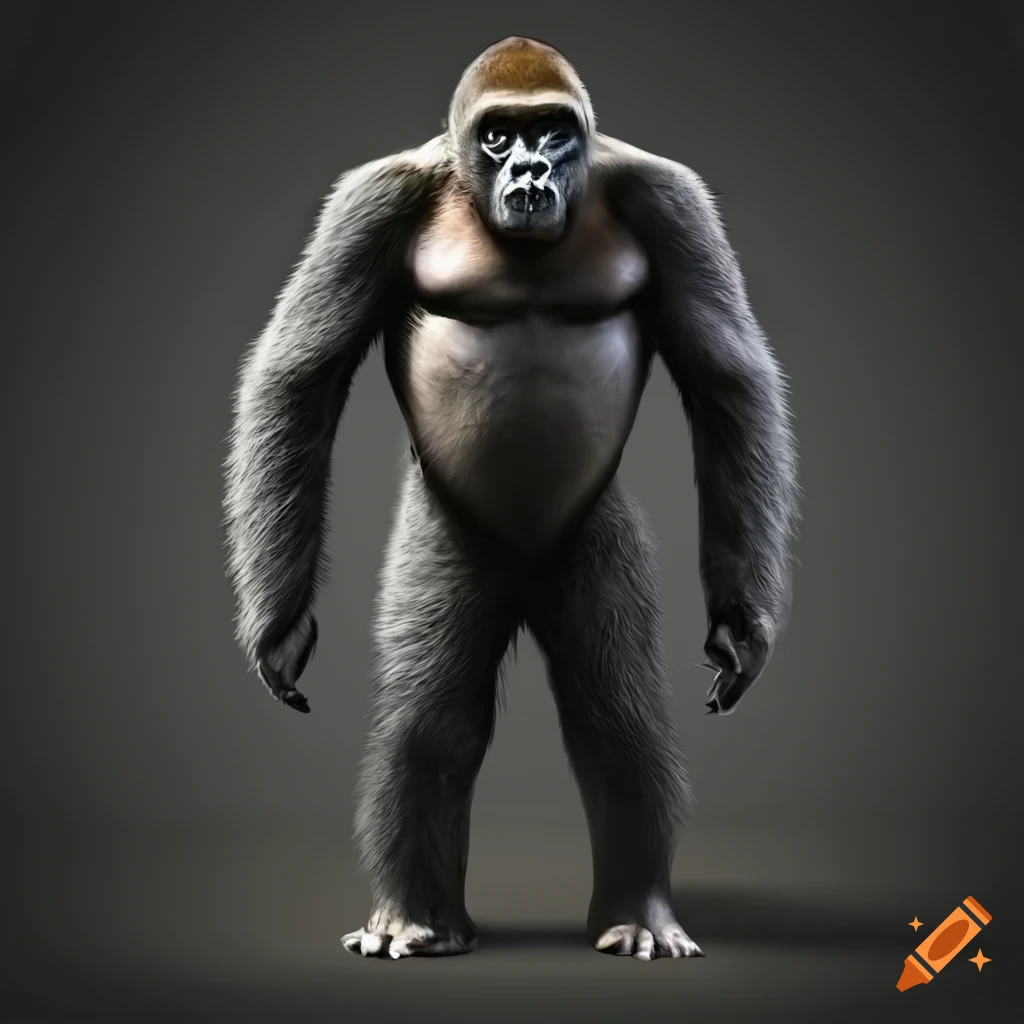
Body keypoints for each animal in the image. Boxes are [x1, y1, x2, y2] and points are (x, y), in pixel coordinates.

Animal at [224, 36, 799, 962]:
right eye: (499, 135)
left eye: (551, 131)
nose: (528, 165)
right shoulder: (370, 201)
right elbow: (301, 376)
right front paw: (279, 626)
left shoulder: (671, 198)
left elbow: (726, 379)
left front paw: (743, 623)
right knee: (434, 716)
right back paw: (416, 916)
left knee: (616, 714)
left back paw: (638, 912)